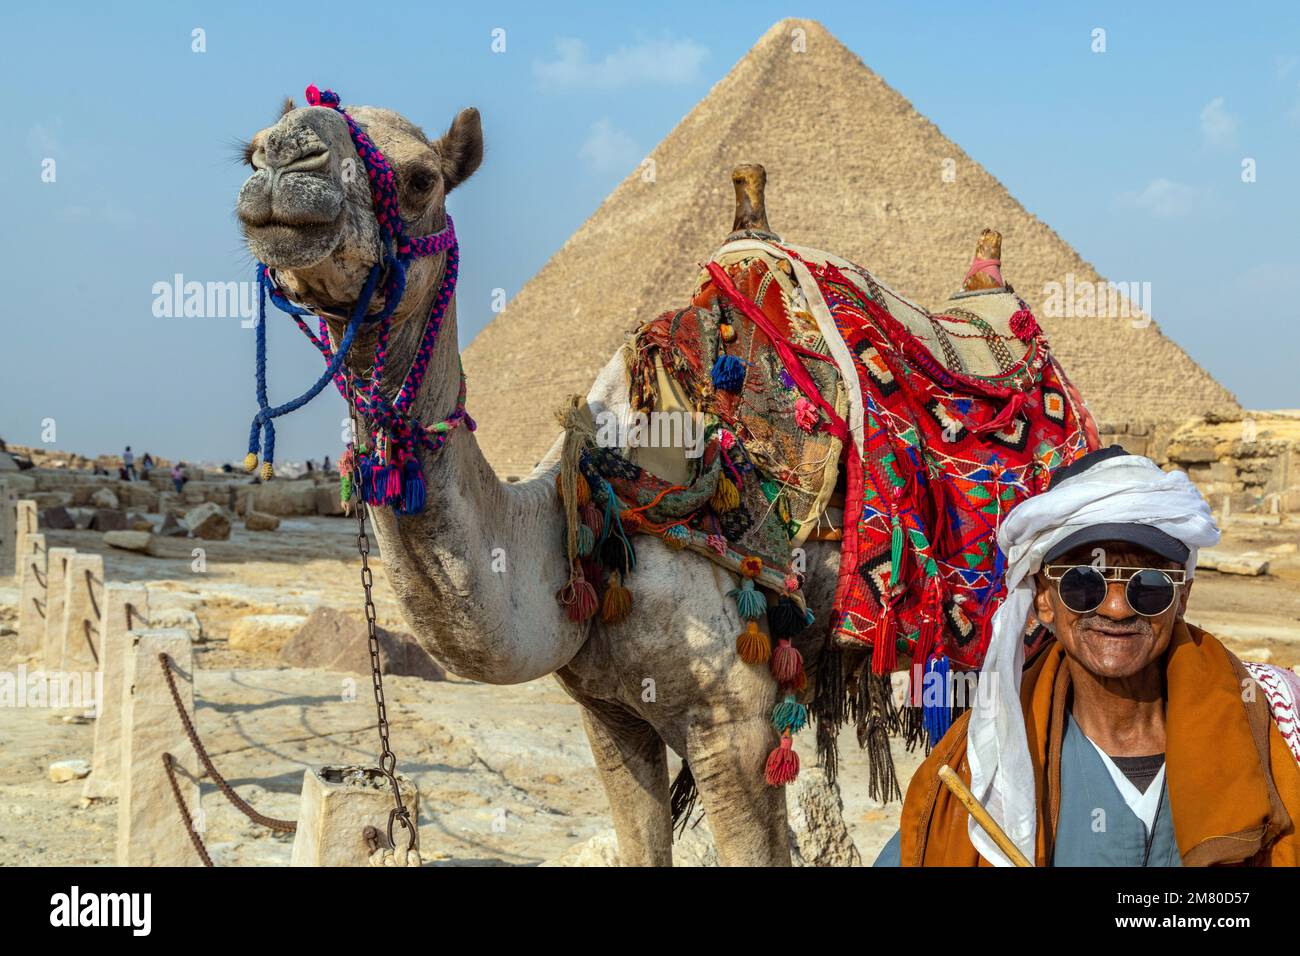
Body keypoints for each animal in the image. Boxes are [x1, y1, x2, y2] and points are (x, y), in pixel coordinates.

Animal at [235, 94, 1026, 866]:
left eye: (421, 177)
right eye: (249, 150)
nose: (283, 158)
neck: (582, 517)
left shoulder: (737, 723)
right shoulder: (608, 715)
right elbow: (638, 840)